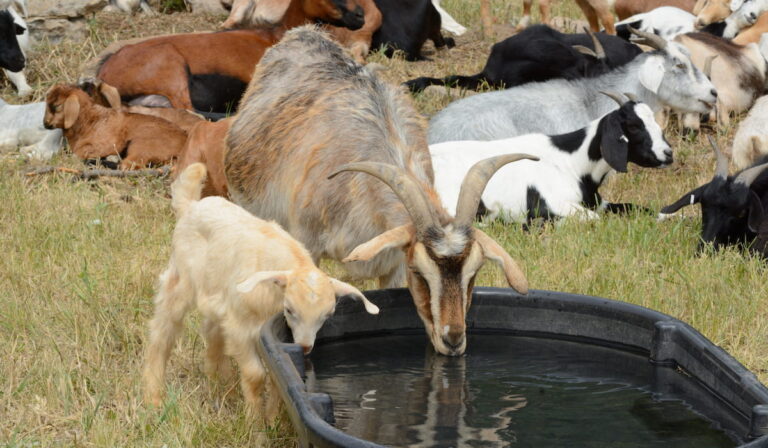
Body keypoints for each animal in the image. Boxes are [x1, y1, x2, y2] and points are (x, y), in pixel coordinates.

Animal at [43, 84, 188, 169]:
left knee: (127, 165)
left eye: (56, 106)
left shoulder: (106, 144)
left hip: (142, 146)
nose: (45, 123)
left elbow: (78, 153)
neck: (90, 121)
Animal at [143, 163, 379, 414]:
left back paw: (221, 383)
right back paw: (154, 396)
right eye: (290, 310)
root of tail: (191, 205)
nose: (305, 347)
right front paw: (254, 418)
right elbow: (255, 375)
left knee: (211, 330)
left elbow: (278, 382)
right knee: (163, 330)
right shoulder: (241, 326)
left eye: (328, 315)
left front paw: (271, 416)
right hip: (181, 279)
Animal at [225, 26, 532, 356]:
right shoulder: (309, 243)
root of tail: (304, 32)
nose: (453, 340)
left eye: (473, 273)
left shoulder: (393, 265)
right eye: (420, 273)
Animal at [430, 93, 672, 222]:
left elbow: (641, 209)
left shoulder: (599, 203)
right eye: (633, 126)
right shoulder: (551, 203)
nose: (668, 154)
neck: (571, 163)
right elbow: (594, 219)